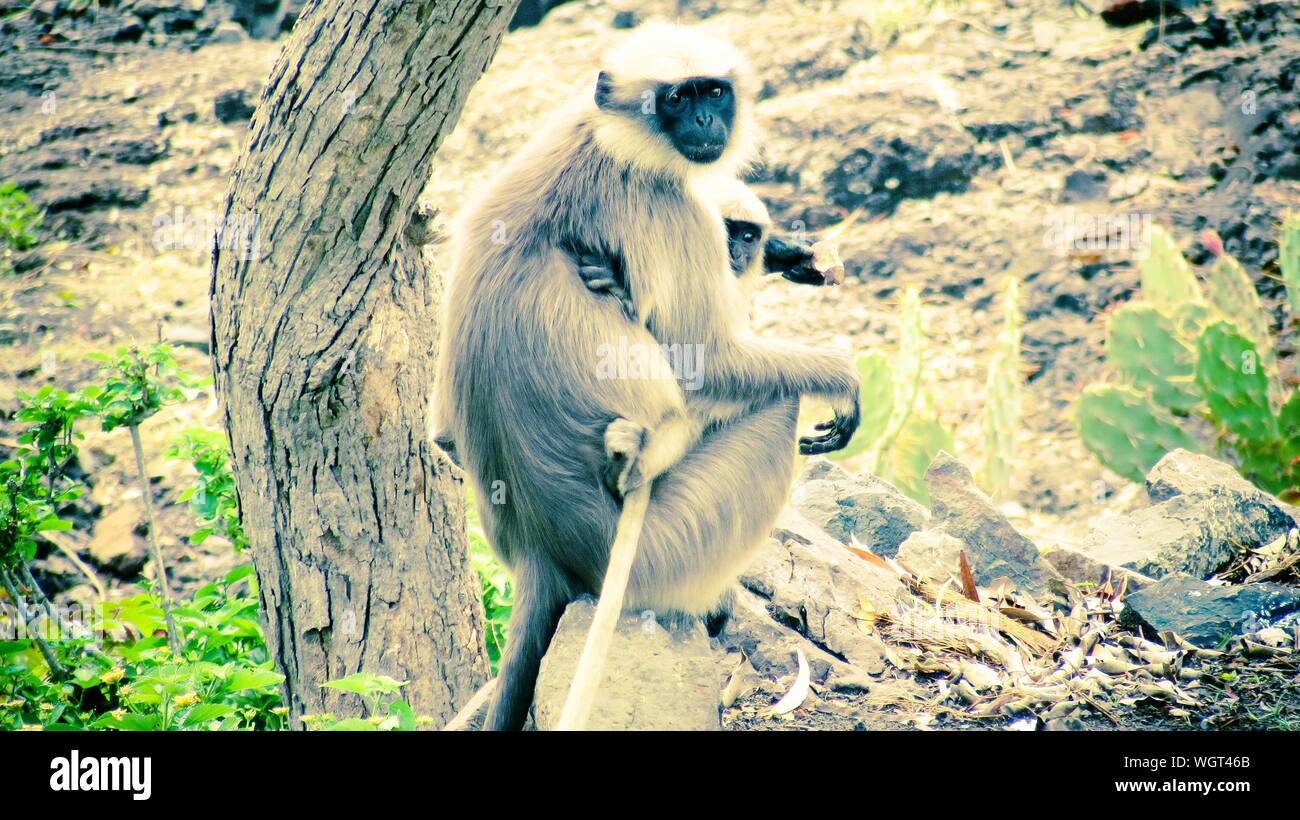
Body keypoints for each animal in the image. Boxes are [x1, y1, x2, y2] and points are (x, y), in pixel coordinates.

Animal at [436, 23, 861, 731]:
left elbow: (438, 433)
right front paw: (843, 377)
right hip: (669, 551)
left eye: (713, 91)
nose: (706, 121)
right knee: (773, 405)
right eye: (677, 98)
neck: (607, 136)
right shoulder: (666, 202)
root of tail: (540, 550)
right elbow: (711, 363)